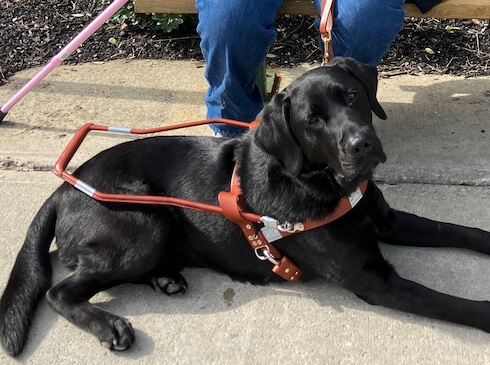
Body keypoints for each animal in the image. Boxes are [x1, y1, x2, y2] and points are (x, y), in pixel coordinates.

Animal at [0, 57, 490, 356]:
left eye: (352, 97)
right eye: (312, 120)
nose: (361, 144)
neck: (321, 184)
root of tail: (63, 188)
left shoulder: (385, 221)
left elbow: (455, 230)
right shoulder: (374, 280)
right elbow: (445, 301)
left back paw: (166, 278)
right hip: (142, 223)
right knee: (61, 291)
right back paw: (110, 325)